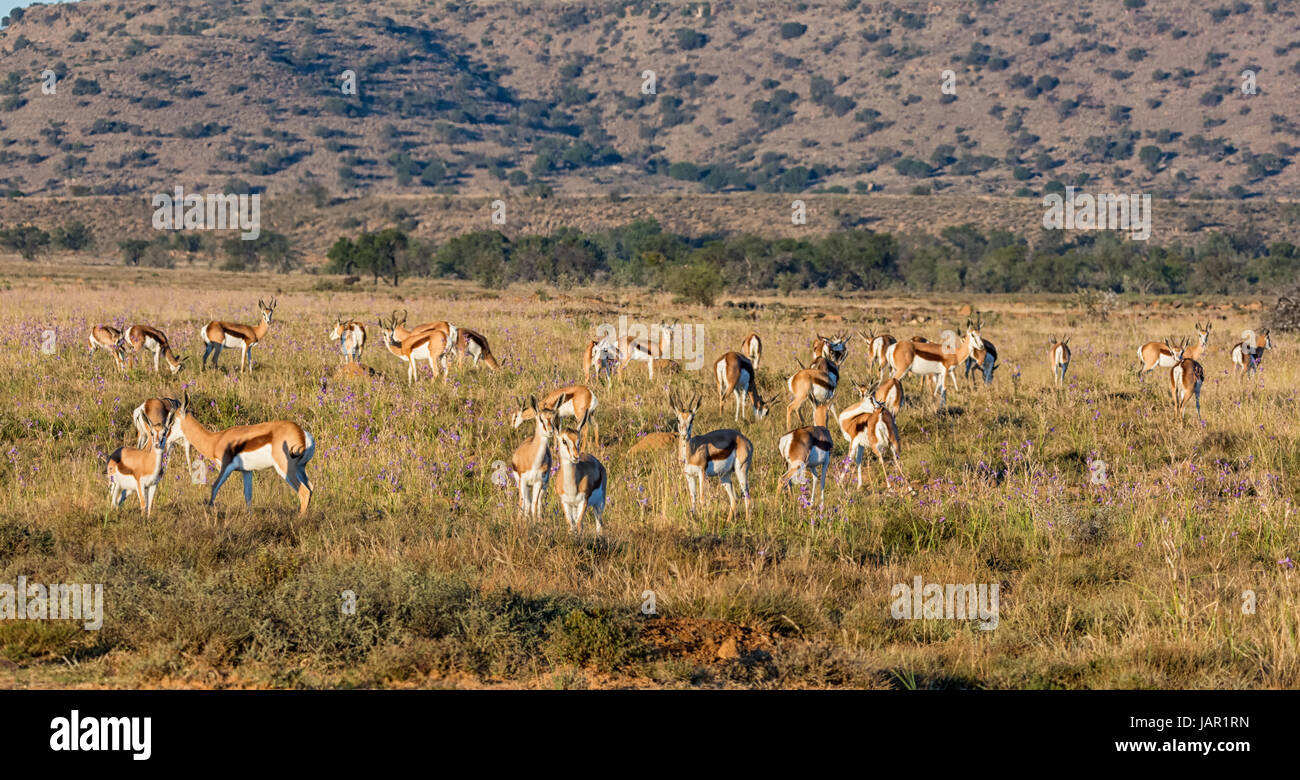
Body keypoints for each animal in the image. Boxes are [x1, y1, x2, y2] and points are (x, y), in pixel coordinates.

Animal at [171, 391, 316, 516]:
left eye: (172, 420)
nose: (166, 435)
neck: (216, 440)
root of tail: (301, 434)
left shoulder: (225, 467)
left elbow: (214, 487)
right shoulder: (247, 471)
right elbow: (248, 495)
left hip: (285, 469)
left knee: (304, 492)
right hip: (300, 468)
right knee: (310, 488)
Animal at [670, 390, 753, 524]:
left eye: (692, 419)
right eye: (678, 419)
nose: (684, 435)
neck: (692, 452)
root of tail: (745, 440)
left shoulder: (702, 473)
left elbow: (702, 499)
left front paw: (704, 522)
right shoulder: (689, 475)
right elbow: (693, 498)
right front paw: (694, 519)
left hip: (741, 471)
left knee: (747, 496)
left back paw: (747, 522)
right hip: (725, 476)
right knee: (733, 499)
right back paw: (728, 522)